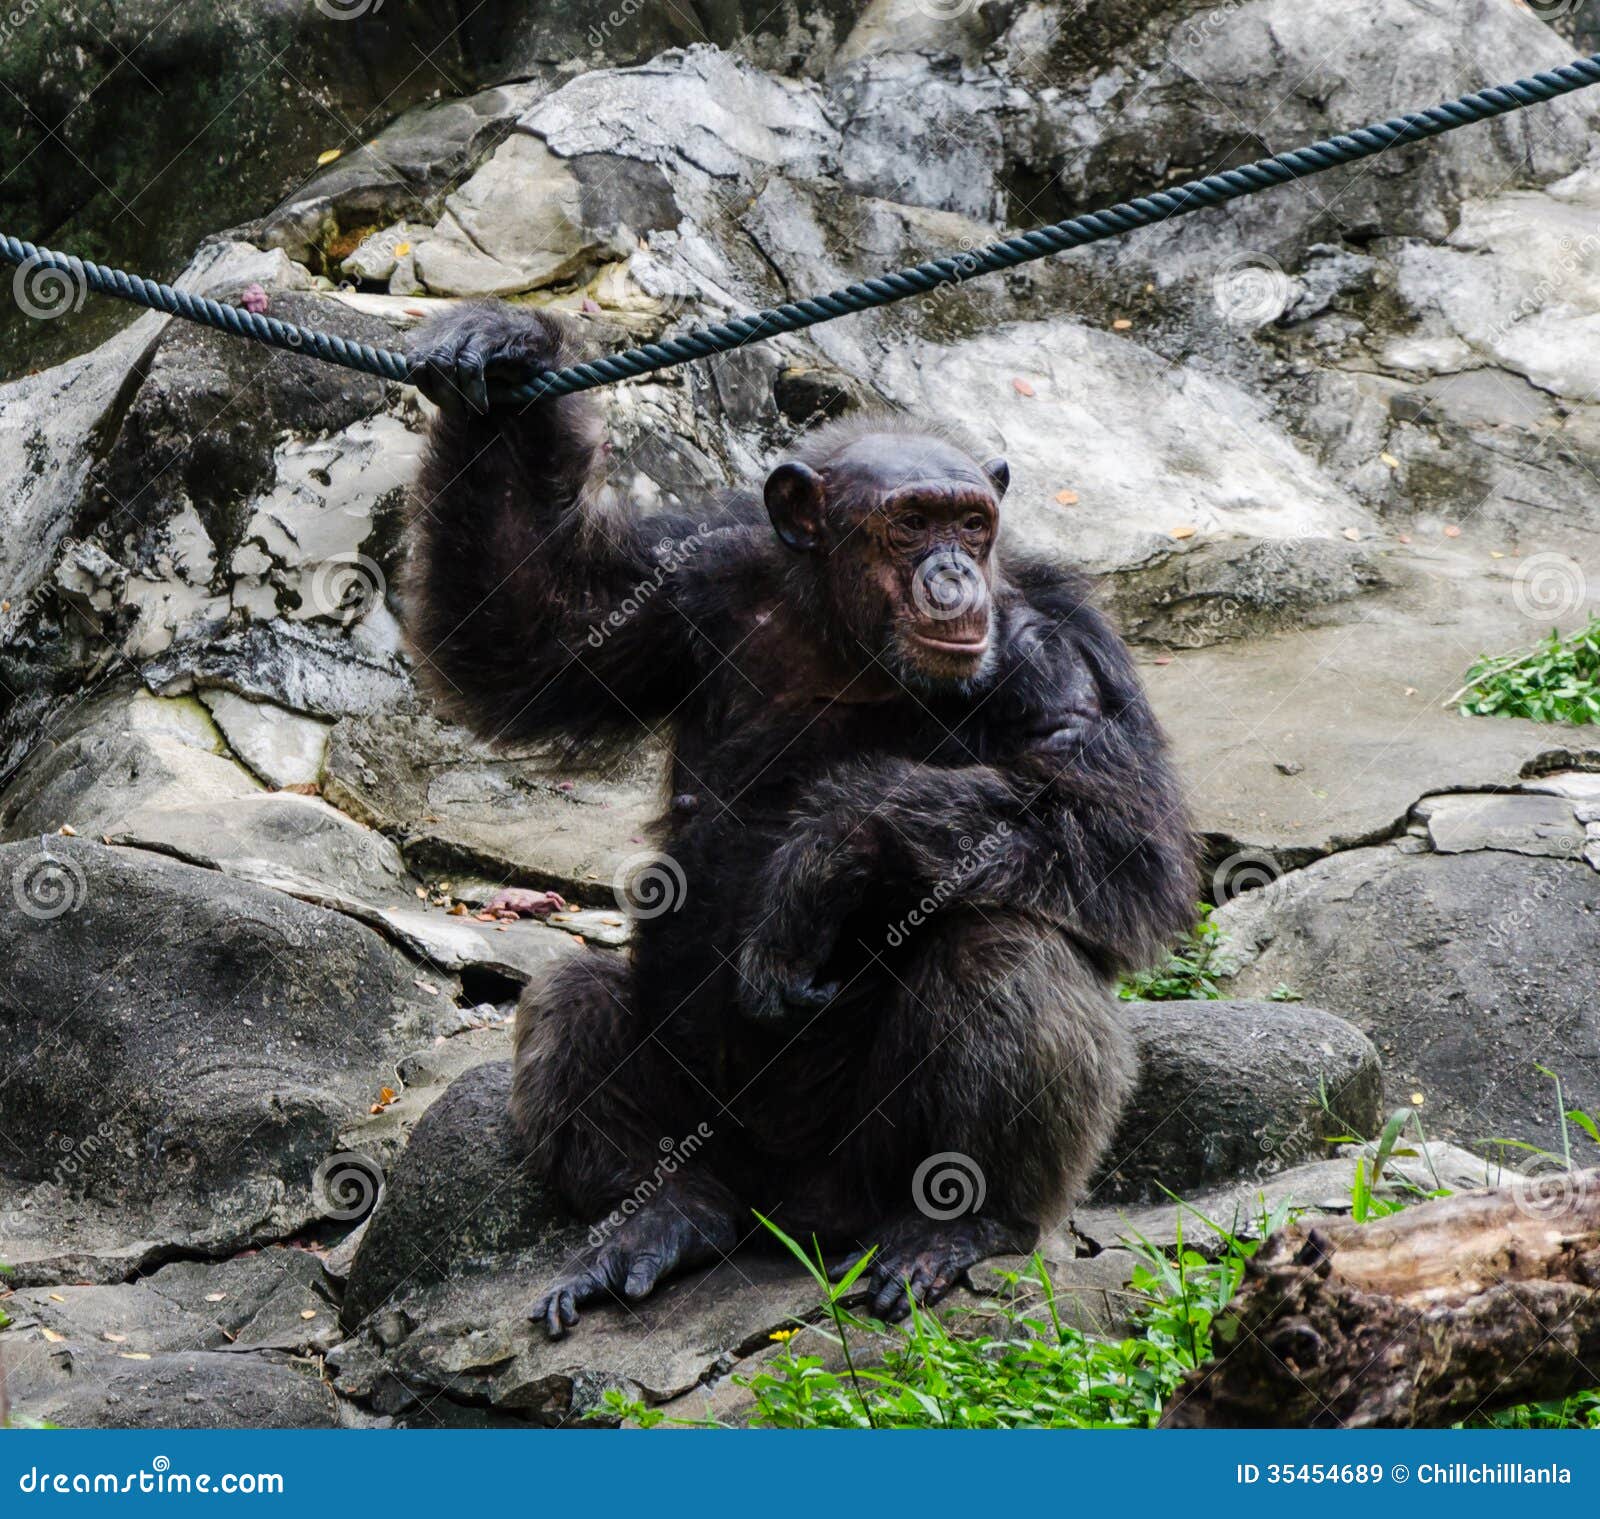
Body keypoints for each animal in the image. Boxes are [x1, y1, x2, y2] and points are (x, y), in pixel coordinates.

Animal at [401, 304, 1194, 1337]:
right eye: (911, 523)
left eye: (972, 523)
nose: (952, 573)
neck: (848, 638)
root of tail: (786, 1213)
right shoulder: (683, 580)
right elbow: (528, 629)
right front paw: (499, 352)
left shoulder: (1053, 654)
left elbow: (1124, 831)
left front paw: (824, 857)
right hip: (717, 1135)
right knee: (572, 990)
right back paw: (661, 1213)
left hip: (862, 1168)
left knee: (1005, 946)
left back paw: (959, 1222)